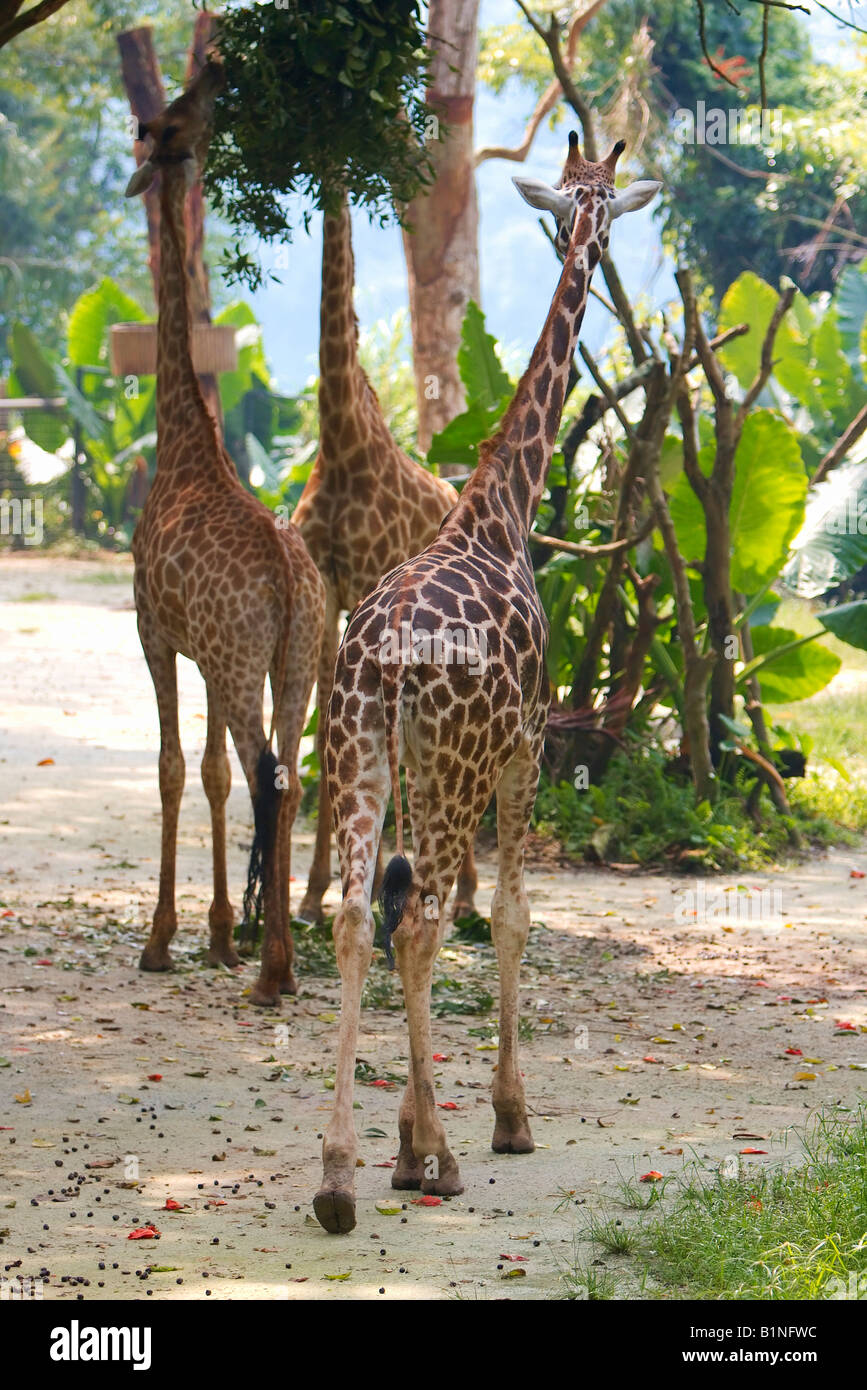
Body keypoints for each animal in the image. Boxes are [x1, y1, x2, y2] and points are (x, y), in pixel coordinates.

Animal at [292, 193, 478, 925]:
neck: (343, 442)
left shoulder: (366, 589)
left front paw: (366, 885)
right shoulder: (324, 594)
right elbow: (324, 734)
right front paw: (314, 892)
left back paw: (464, 893)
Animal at [313, 133, 661, 1232]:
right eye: (600, 201)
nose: (594, 235)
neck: (501, 506)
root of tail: (384, 653)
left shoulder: (431, 762)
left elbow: (408, 916)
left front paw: (398, 1148)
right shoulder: (525, 746)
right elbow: (509, 918)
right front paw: (502, 1121)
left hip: (361, 750)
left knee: (356, 915)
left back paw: (338, 1175)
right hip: (458, 763)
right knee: (422, 922)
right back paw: (448, 1156)